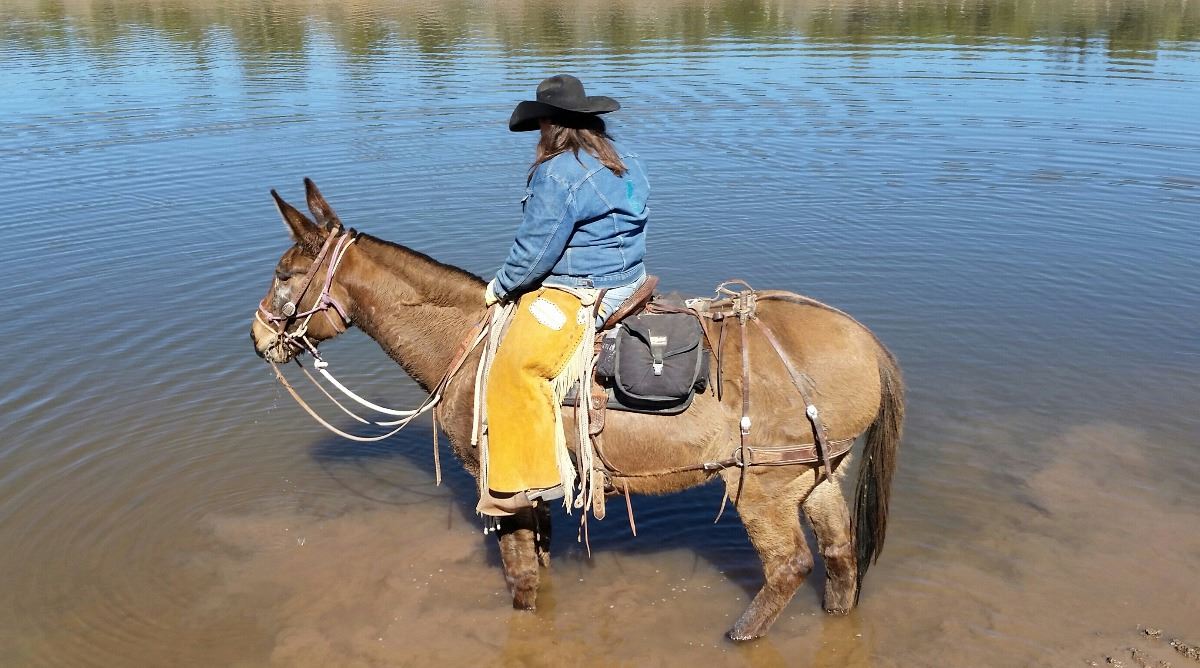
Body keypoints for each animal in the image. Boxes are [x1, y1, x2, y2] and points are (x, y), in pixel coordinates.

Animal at [249, 179, 904, 641]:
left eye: (284, 275)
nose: (258, 337)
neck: (465, 344)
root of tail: (866, 342)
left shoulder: (500, 486)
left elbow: (520, 581)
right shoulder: (534, 487)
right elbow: (538, 566)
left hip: (764, 486)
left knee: (790, 566)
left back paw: (739, 636)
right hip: (820, 473)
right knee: (840, 559)